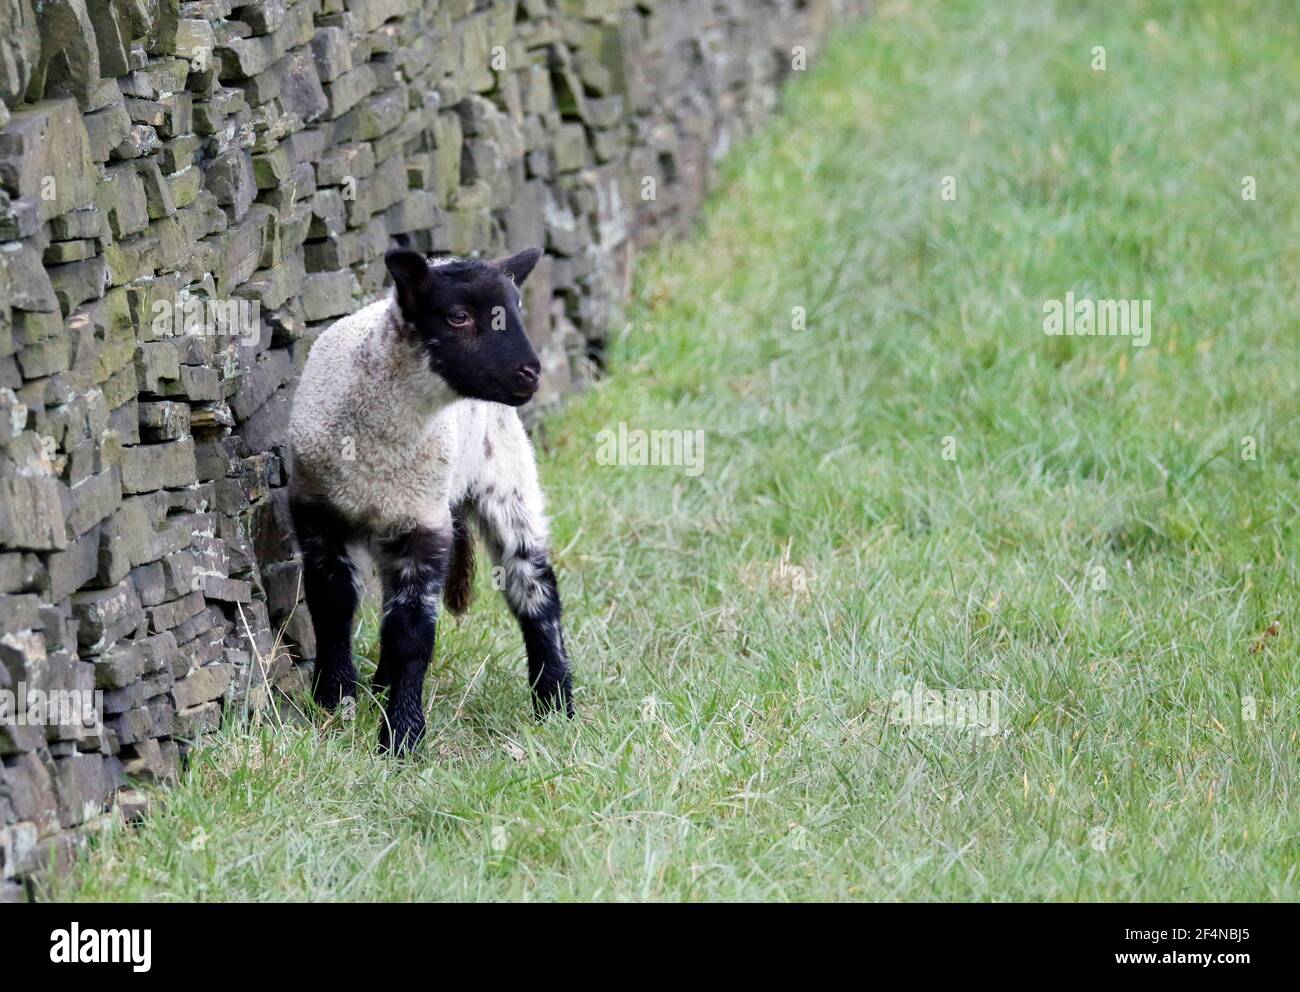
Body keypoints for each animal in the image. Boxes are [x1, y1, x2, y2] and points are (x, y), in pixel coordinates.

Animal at [288, 247, 574, 754]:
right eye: (458, 317)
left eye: (517, 309)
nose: (531, 373)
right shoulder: (316, 513)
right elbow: (331, 606)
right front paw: (334, 699)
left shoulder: (424, 526)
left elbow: (412, 636)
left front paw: (401, 736)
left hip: (507, 477)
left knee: (534, 587)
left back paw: (555, 702)